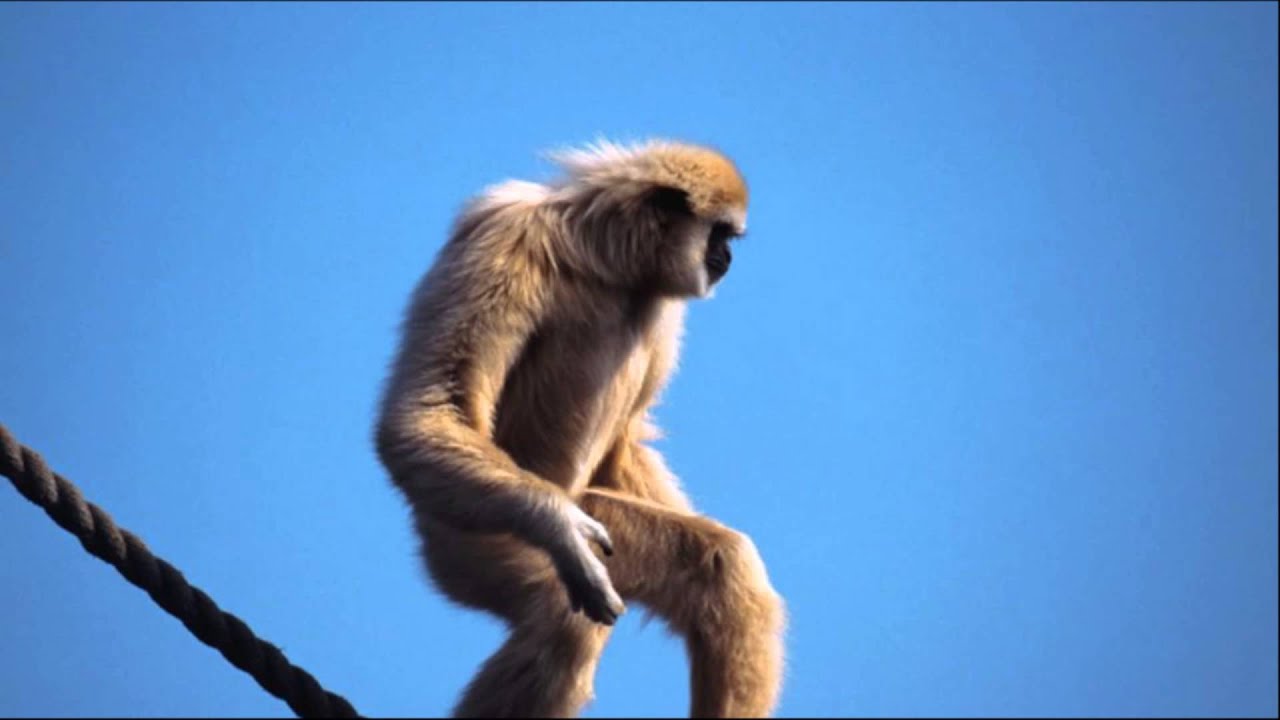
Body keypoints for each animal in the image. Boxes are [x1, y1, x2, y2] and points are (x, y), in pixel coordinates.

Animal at [374, 139, 786, 718]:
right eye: (720, 236)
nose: (725, 261)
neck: (603, 260)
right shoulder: (504, 235)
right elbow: (426, 410)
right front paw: (557, 526)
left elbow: (625, 445)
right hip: (469, 532)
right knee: (563, 617)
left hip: (591, 517)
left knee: (724, 568)